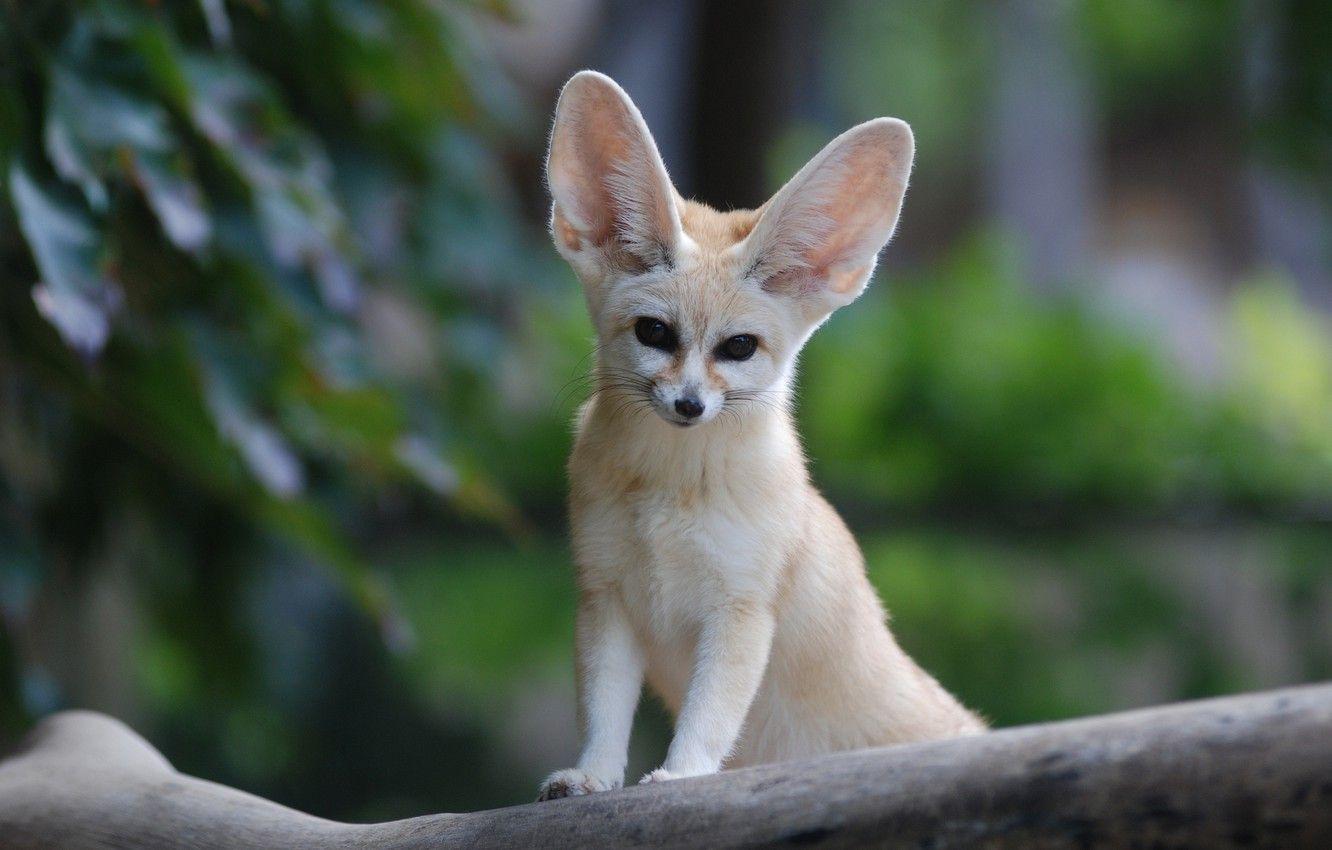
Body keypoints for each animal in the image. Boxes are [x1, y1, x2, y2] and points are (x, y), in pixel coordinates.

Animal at [537, 71, 984, 801]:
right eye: (654, 333)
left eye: (738, 347)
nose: (690, 404)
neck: (669, 496)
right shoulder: (606, 599)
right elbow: (604, 712)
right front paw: (592, 777)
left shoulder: (742, 611)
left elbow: (711, 714)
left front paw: (681, 775)